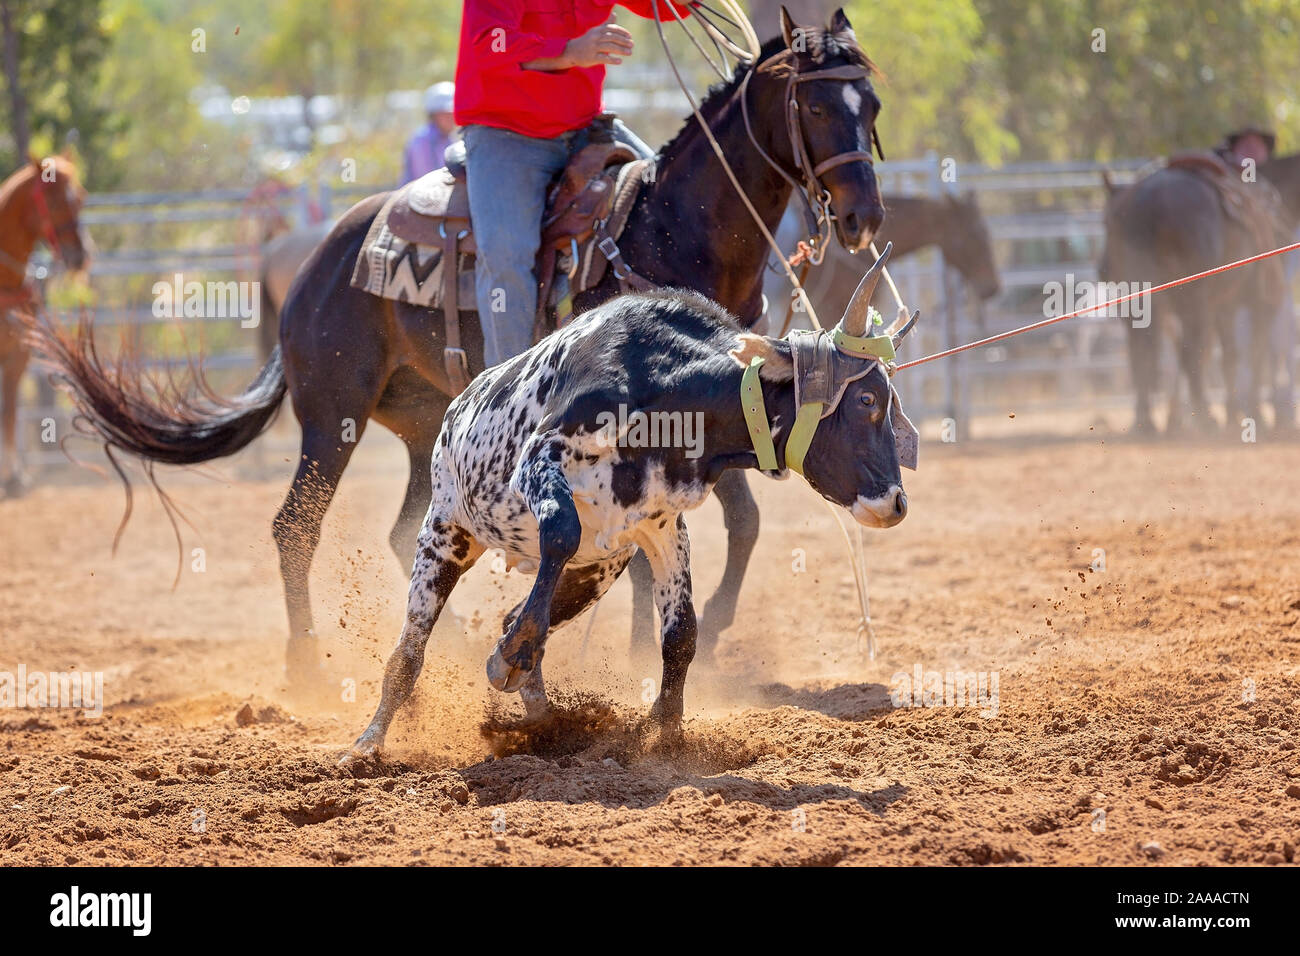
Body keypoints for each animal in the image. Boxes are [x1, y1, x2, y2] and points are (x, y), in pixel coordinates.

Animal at [342, 244, 918, 765]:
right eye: (867, 401)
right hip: (445, 534)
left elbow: (682, 632)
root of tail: (455, 409)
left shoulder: (661, 527)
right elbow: (560, 531)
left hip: (597, 570)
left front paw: (665, 734)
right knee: (408, 653)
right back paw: (367, 745)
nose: (896, 503)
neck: (663, 384)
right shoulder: (540, 457)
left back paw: (547, 725)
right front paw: (512, 656)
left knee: (518, 610)